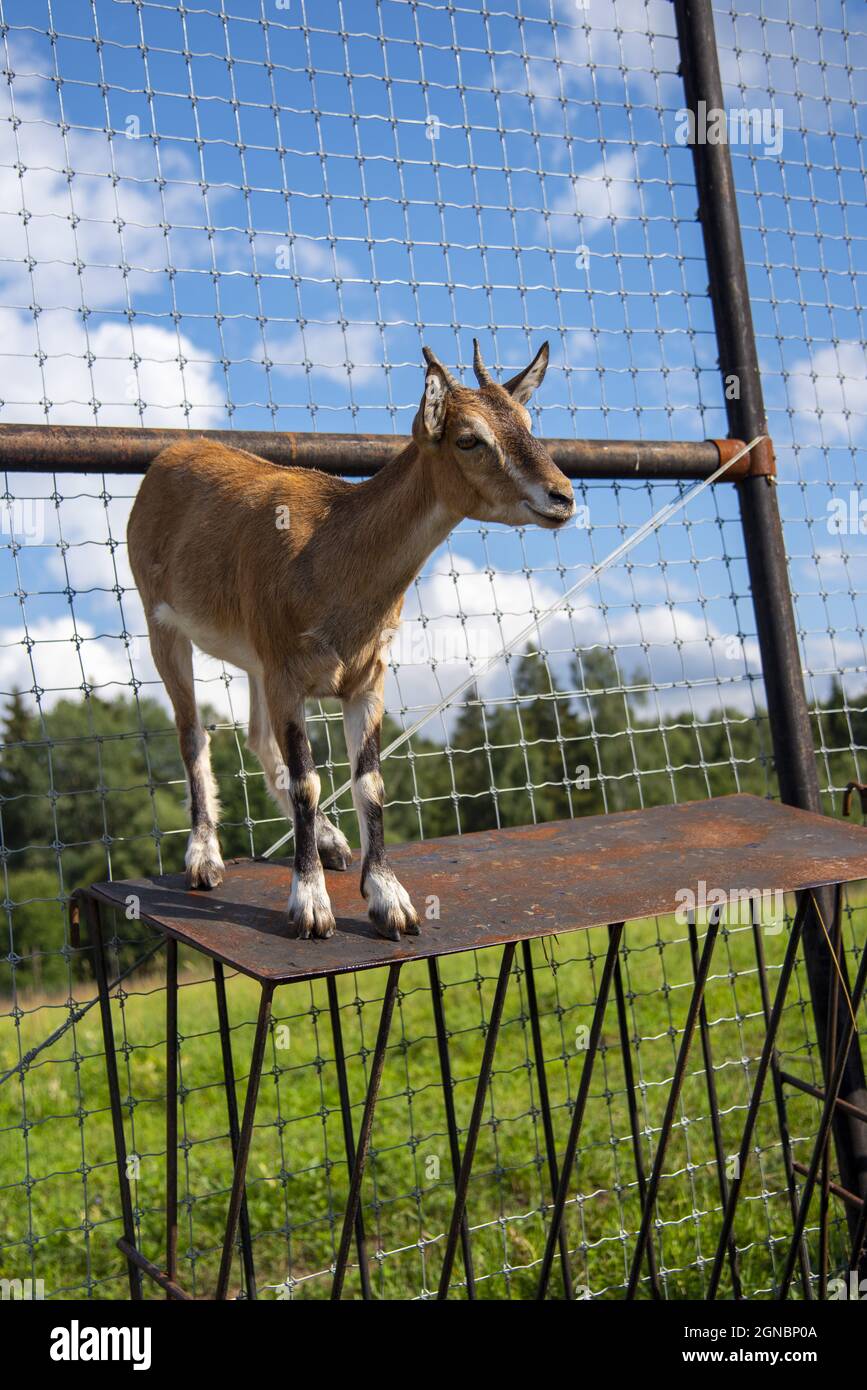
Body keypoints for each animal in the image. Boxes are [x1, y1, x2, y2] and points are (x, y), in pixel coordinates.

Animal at [127, 342, 575, 941]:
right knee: (192, 733)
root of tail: (171, 454)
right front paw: (311, 906)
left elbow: (370, 783)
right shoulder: (287, 673)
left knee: (256, 735)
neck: (328, 552)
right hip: (165, 626)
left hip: (253, 659)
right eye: (469, 438)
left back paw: (329, 840)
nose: (562, 497)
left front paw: (389, 899)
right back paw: (205, 858)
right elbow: (307, 780)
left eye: (527, 421)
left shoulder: (365, 678)